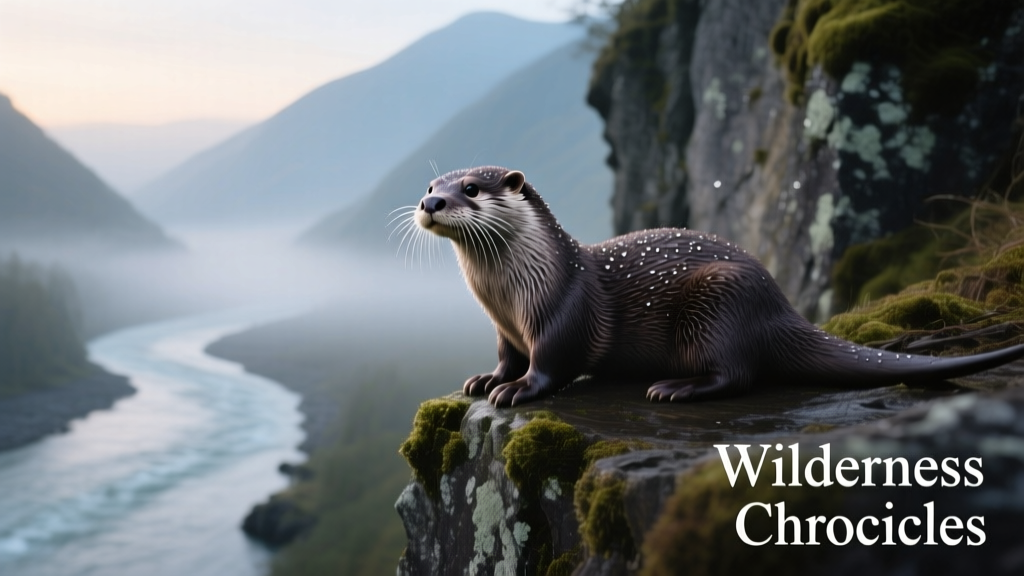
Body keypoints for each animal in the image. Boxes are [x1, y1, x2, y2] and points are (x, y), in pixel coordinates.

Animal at [410, 166, 1024, 407]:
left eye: (471, 187)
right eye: (432, 184)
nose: (430, 203)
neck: (514, 295)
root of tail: (780, 307)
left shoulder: (564, 314)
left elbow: (550, 365)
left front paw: (516, 390)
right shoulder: (506, 330)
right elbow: (507, 357)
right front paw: (487, 379)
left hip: (718, 302)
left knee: (739, 374)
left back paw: (675, 388)